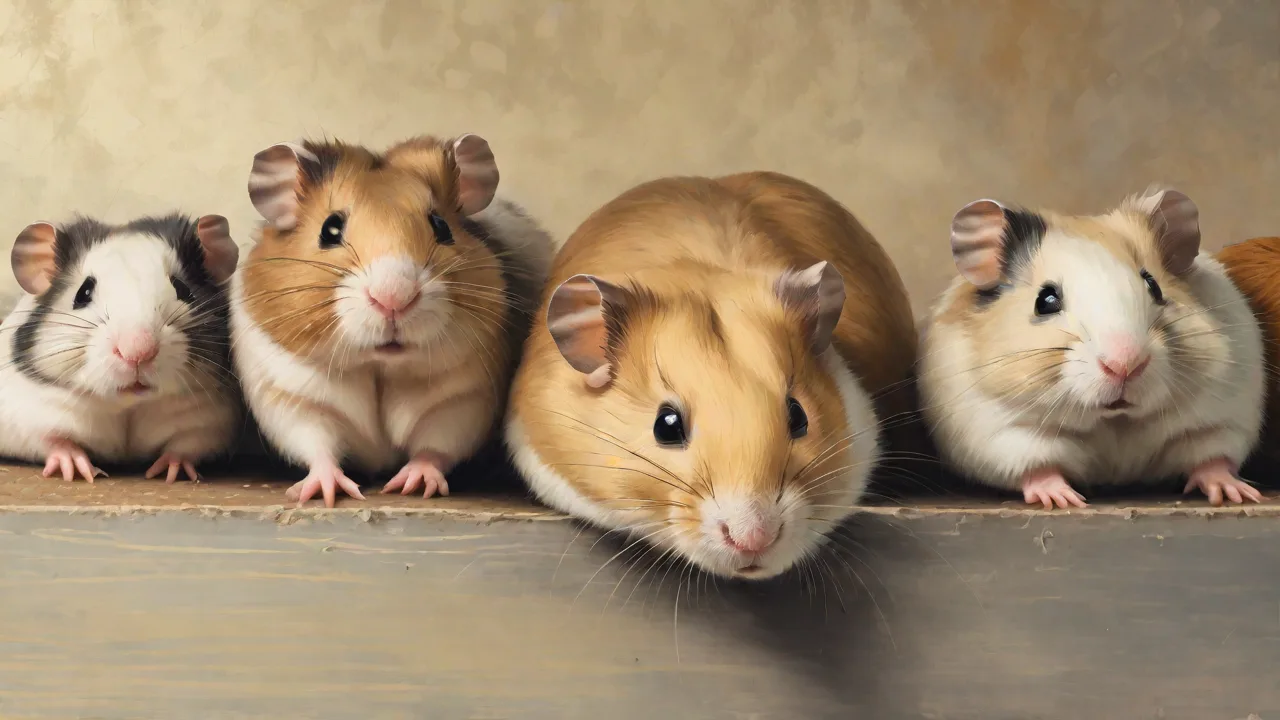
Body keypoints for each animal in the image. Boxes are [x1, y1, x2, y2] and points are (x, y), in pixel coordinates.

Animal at [0, 213, 242, 482]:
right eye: (83, 293)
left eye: (183, 289)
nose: (138, 352)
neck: (128, 406)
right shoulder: (26, 417)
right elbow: (54, 441)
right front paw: (80, 470)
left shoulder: (210, 423)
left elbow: (186, 446)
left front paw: (171, 471)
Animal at [232, 133, 553, 508]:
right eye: (330, 230)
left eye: (441, 226)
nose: (394, 298)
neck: (379, 368)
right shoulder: (295, 401)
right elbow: (318, 448)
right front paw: (326, 494)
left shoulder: (463, 403)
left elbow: (435, 447)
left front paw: (412, 485)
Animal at [918, 187, 1265, 509]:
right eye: (1045, 301)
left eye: (1153, 286)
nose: (1125, 364)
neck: (1115, 422)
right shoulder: (1003, 435)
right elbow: (1038, 468)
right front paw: (1064, 500)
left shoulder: (1220, 418)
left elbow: (1212, 459)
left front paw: (1236, 494)